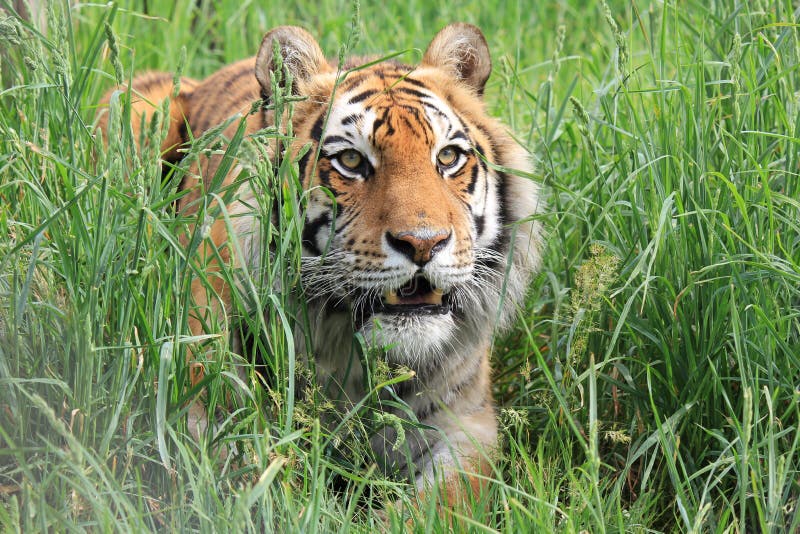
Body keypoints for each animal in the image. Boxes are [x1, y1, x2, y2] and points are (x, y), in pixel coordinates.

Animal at [98, 23, 543, 503]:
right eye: (351, 160)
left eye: (447, 157)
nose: (423, 244)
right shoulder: (205, 413)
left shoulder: (466, 426)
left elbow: (440, 503)